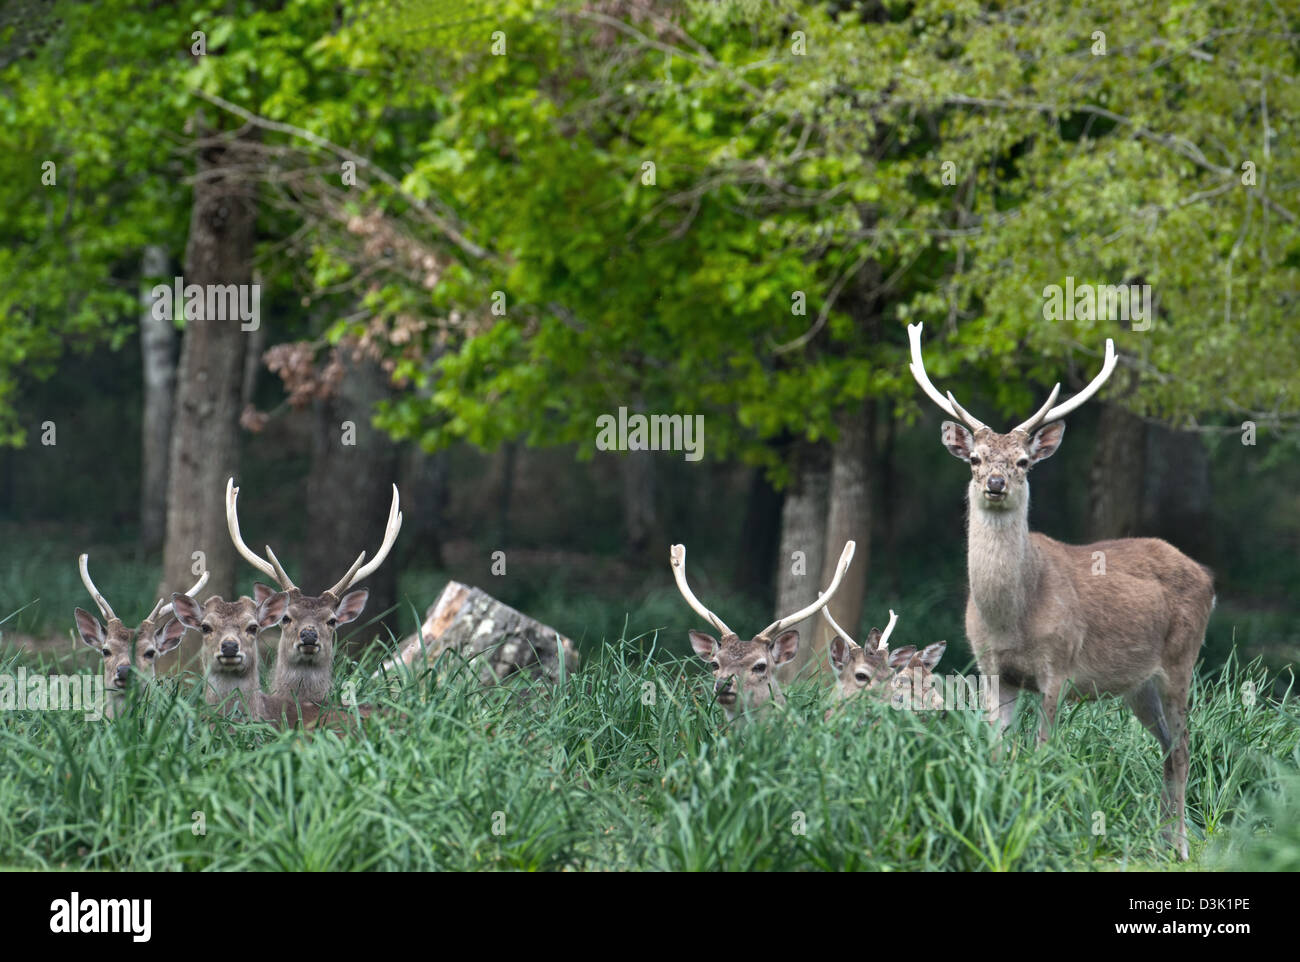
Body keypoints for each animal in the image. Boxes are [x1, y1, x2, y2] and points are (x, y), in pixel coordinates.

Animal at [907, 322, 1215, 860]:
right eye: (975, 458)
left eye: (1024, 461)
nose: (994, 482)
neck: (1012, 615)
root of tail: (1208, 579)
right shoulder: (992, 669)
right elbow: (997, 752)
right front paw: (997, 820)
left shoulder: (1059, 665)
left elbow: (1042, 751)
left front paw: (1037, 826)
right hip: (1138, 685)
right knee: (1165, 747)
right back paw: (1157, 842)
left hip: (1182, 660)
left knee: (1182, 749)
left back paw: (1177, 847)